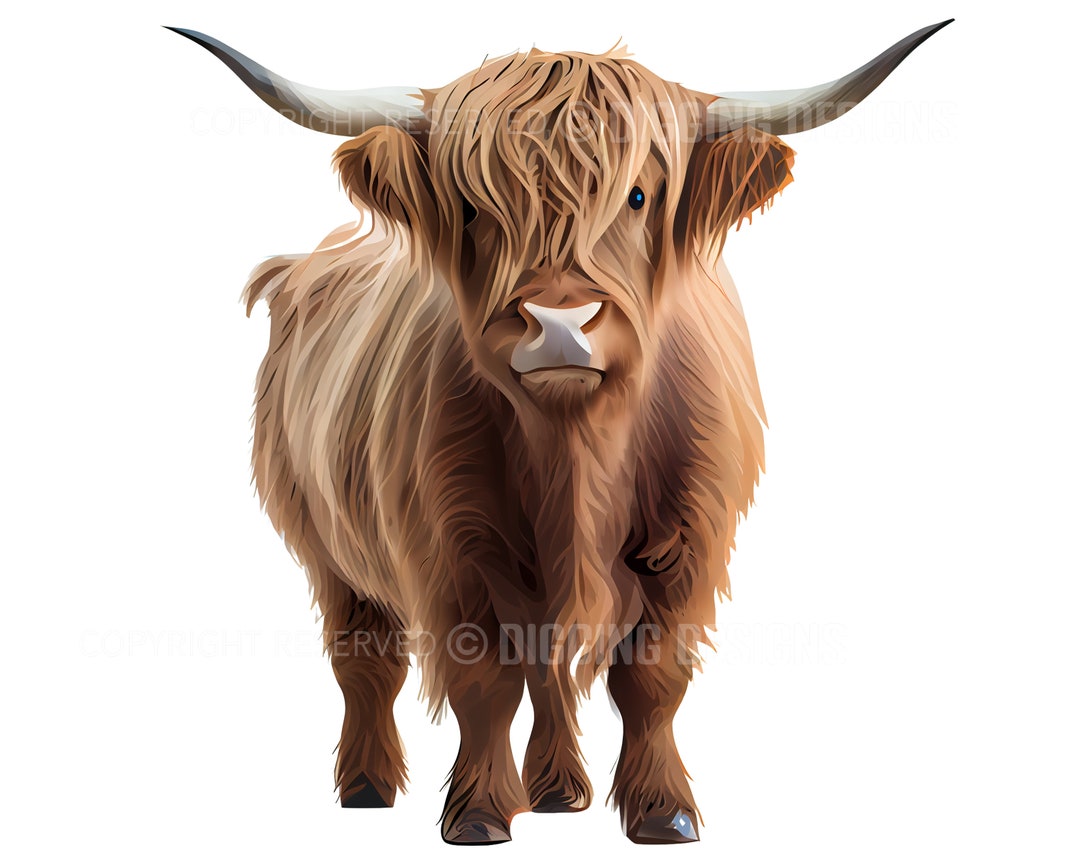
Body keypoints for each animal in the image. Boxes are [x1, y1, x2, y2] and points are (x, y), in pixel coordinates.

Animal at [170, 20, 951, 845]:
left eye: (638, 195)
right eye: (472, 208)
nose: (558, 324)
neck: (576, 460)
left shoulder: (691, 546)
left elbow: (652, 678)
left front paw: (664, 812)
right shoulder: (451, 550)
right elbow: (482, 678)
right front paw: (480, 813)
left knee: (544, 670)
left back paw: (558, 792)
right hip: (325, 547)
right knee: (367, 659)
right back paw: (368, 786)